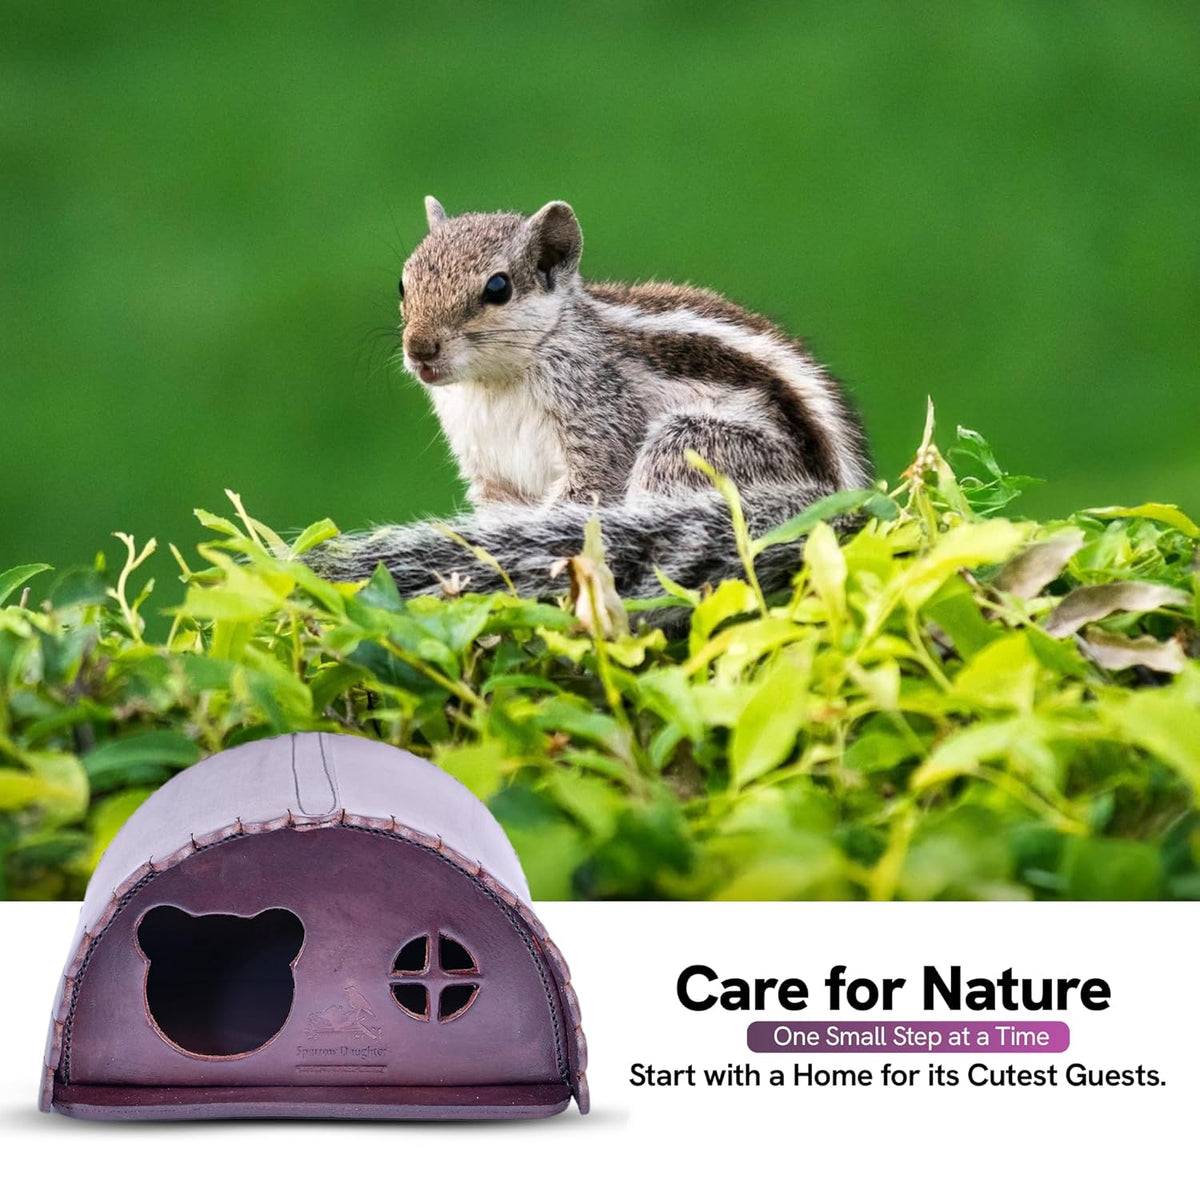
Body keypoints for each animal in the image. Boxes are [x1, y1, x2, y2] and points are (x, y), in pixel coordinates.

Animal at [306, 197, 872, 607]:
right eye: (403, 283)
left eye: (498, 287)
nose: (420, 350)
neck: (492, 385)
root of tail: (836, 502)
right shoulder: (490, 474)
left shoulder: (598, 413)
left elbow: (591, 485)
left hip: (691, 446)